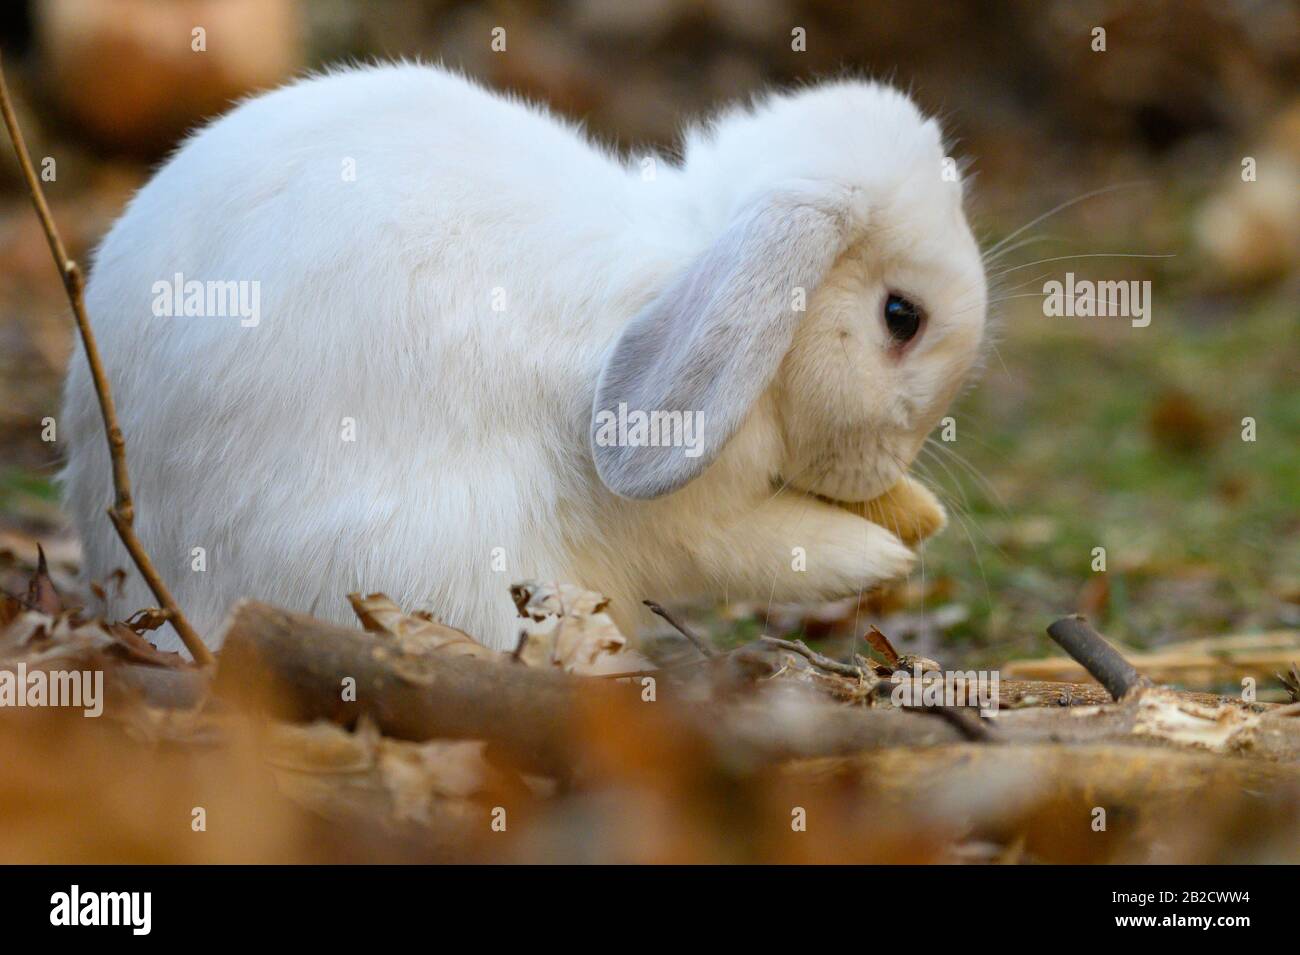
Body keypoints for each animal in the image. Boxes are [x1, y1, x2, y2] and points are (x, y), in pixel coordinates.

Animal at [60, 63, 987, 656]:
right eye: (900, 317)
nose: (896, 472)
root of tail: (126, 583)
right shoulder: (681, 518)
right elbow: (755, 546)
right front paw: (878, 554)